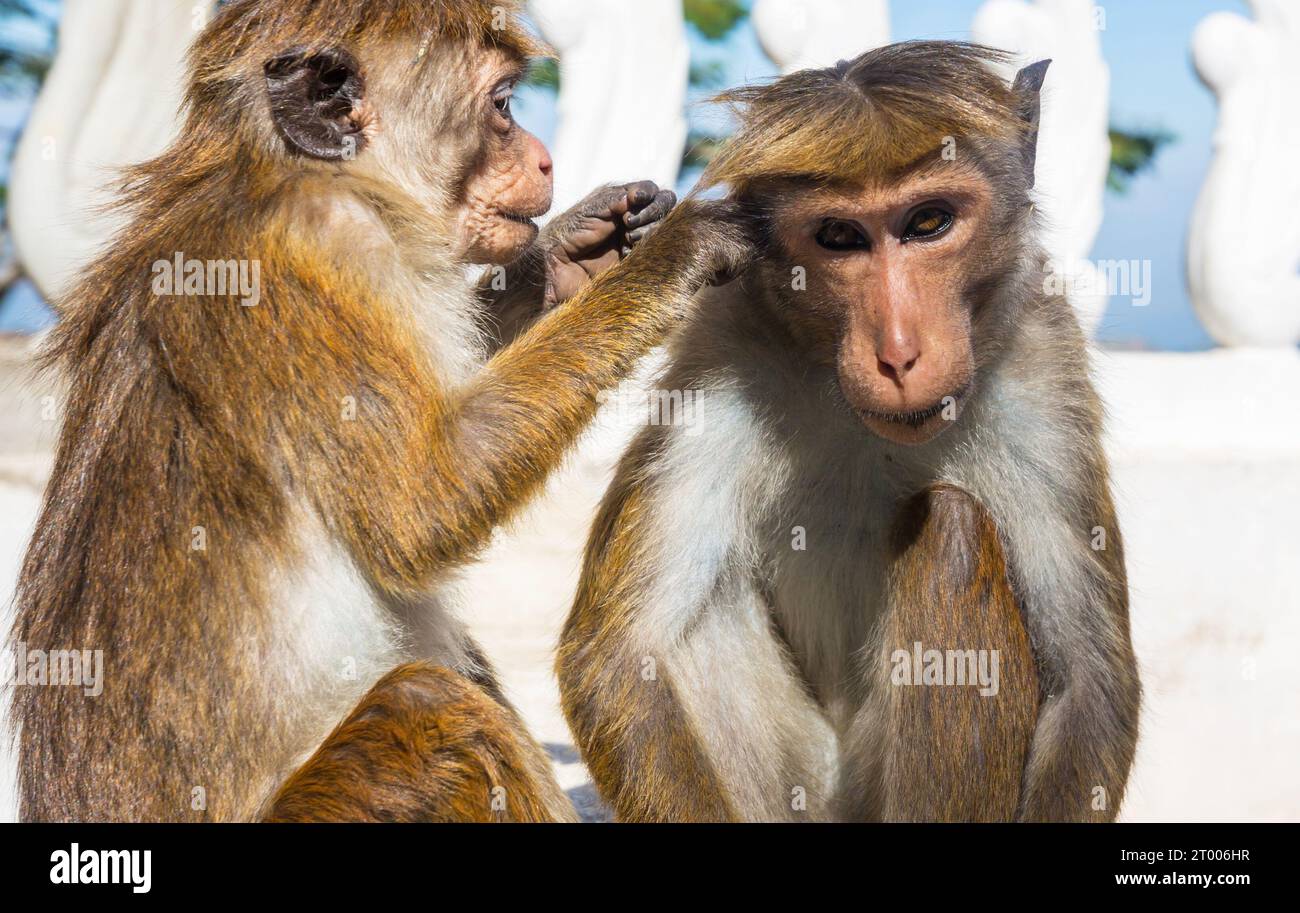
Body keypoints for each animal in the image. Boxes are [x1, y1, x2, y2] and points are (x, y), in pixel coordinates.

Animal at [8, 0, 751, 822]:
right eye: (502, 106)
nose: (546, 159)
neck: (289, 169)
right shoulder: (321, 249)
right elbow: (423, 504)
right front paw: (673, 252)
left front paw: (579, 253)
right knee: (430, 704)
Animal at [557, 41, 1141, 823]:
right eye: (840, 237)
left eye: (928, 222)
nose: (897, 353)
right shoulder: (724, 362)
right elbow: (622, 653)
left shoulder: (1043, 369)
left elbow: (1088, 679)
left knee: (951, 529)